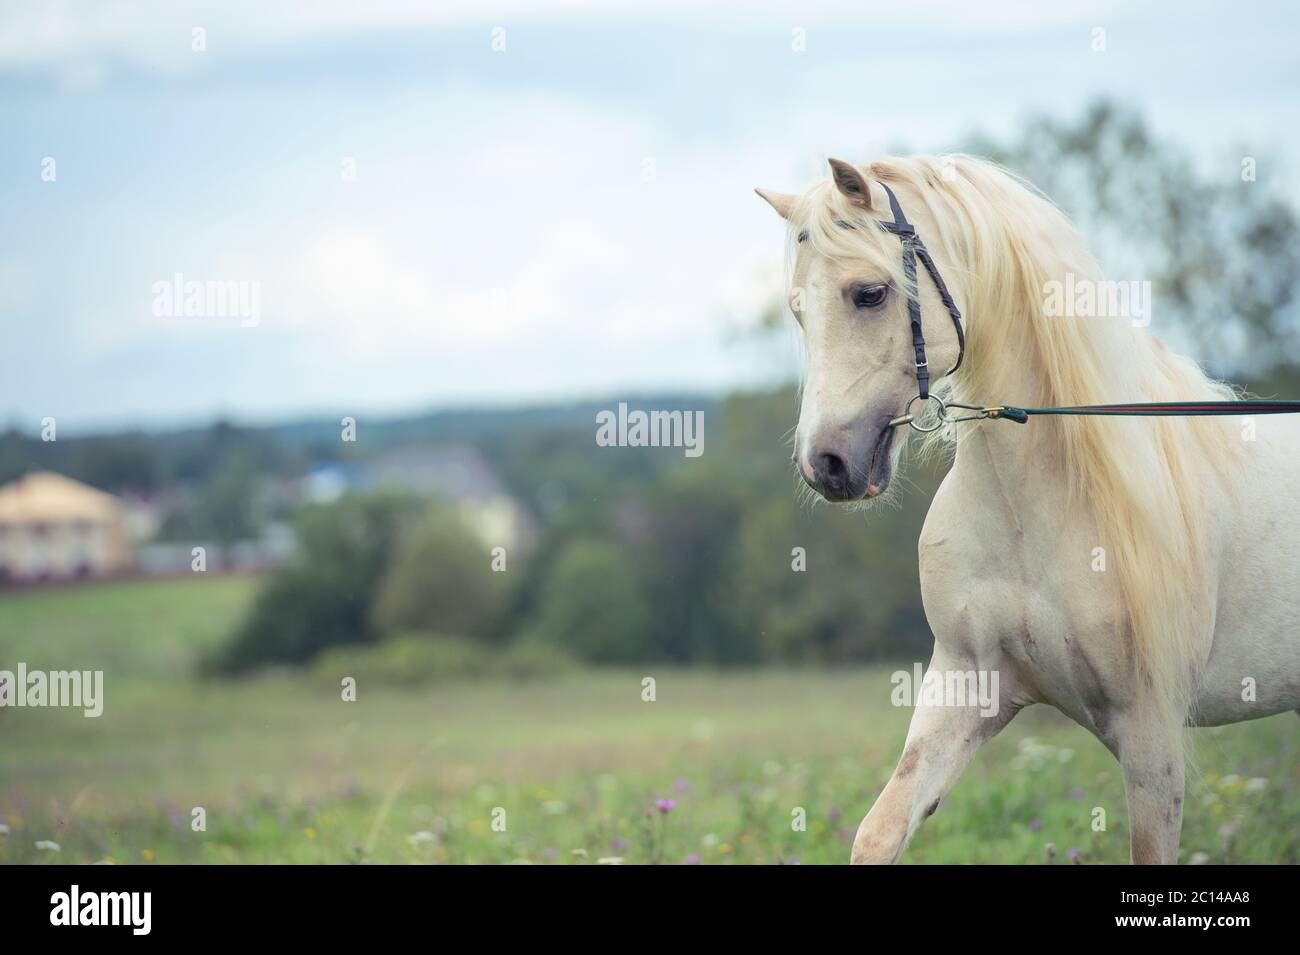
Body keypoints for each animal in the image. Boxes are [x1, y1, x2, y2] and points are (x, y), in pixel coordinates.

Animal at [755, 155, 1300, 864]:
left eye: (869, 293)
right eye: (798, 309)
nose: (826, 464)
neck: (1036, 506)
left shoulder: (1151, 735)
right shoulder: (964, 686)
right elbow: (879, 831)